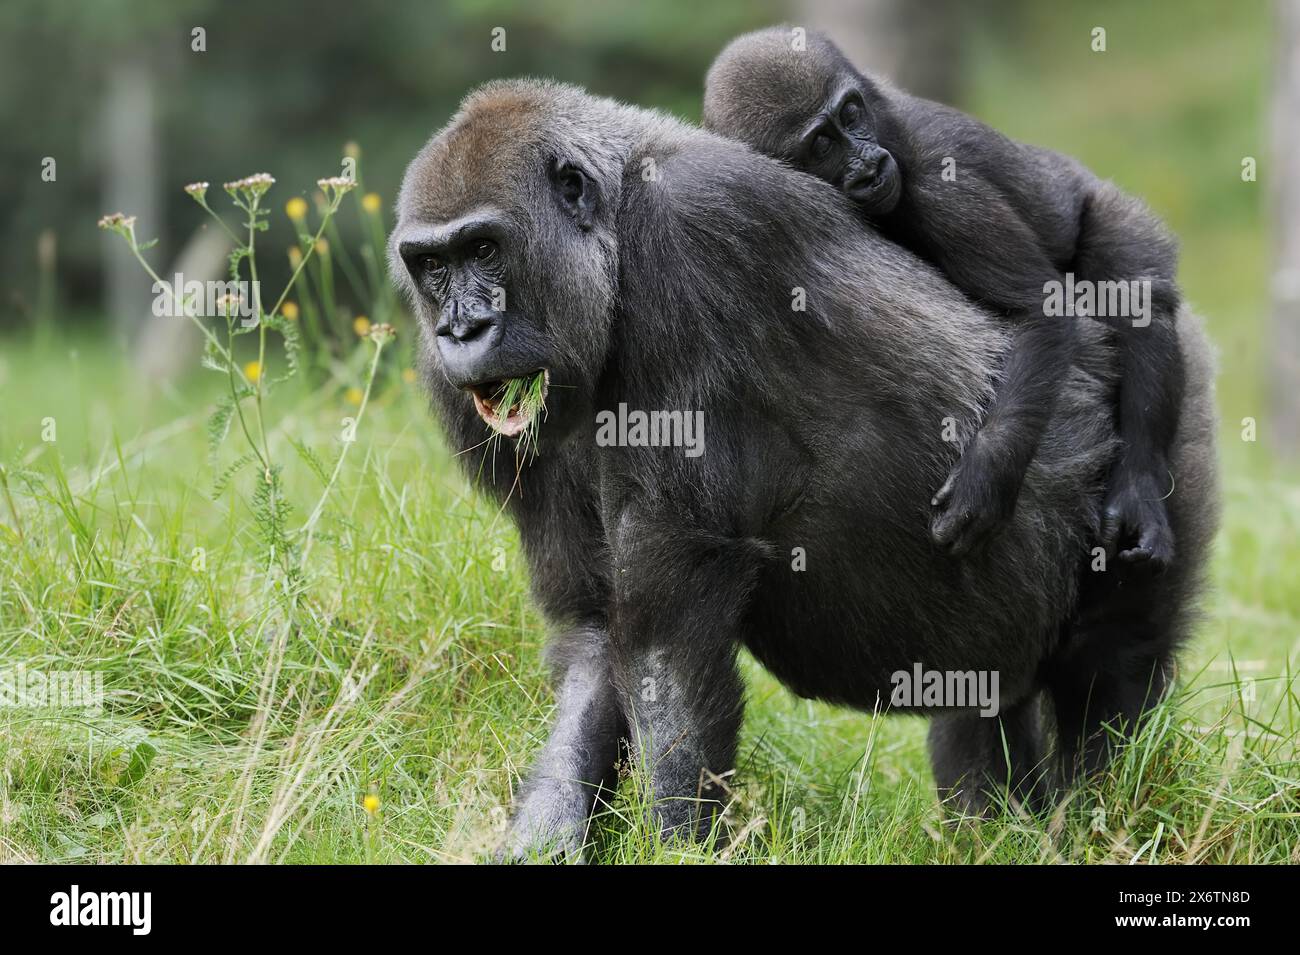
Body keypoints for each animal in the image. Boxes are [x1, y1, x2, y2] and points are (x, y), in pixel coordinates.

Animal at [704, 28, 1187, 568]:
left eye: (851, 115)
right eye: (822, 143)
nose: (869, 166)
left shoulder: (944, 189)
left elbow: (1036, 308)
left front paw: (988, 472)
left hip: (1110, 207)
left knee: (1139, 303)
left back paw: (1139, 489)